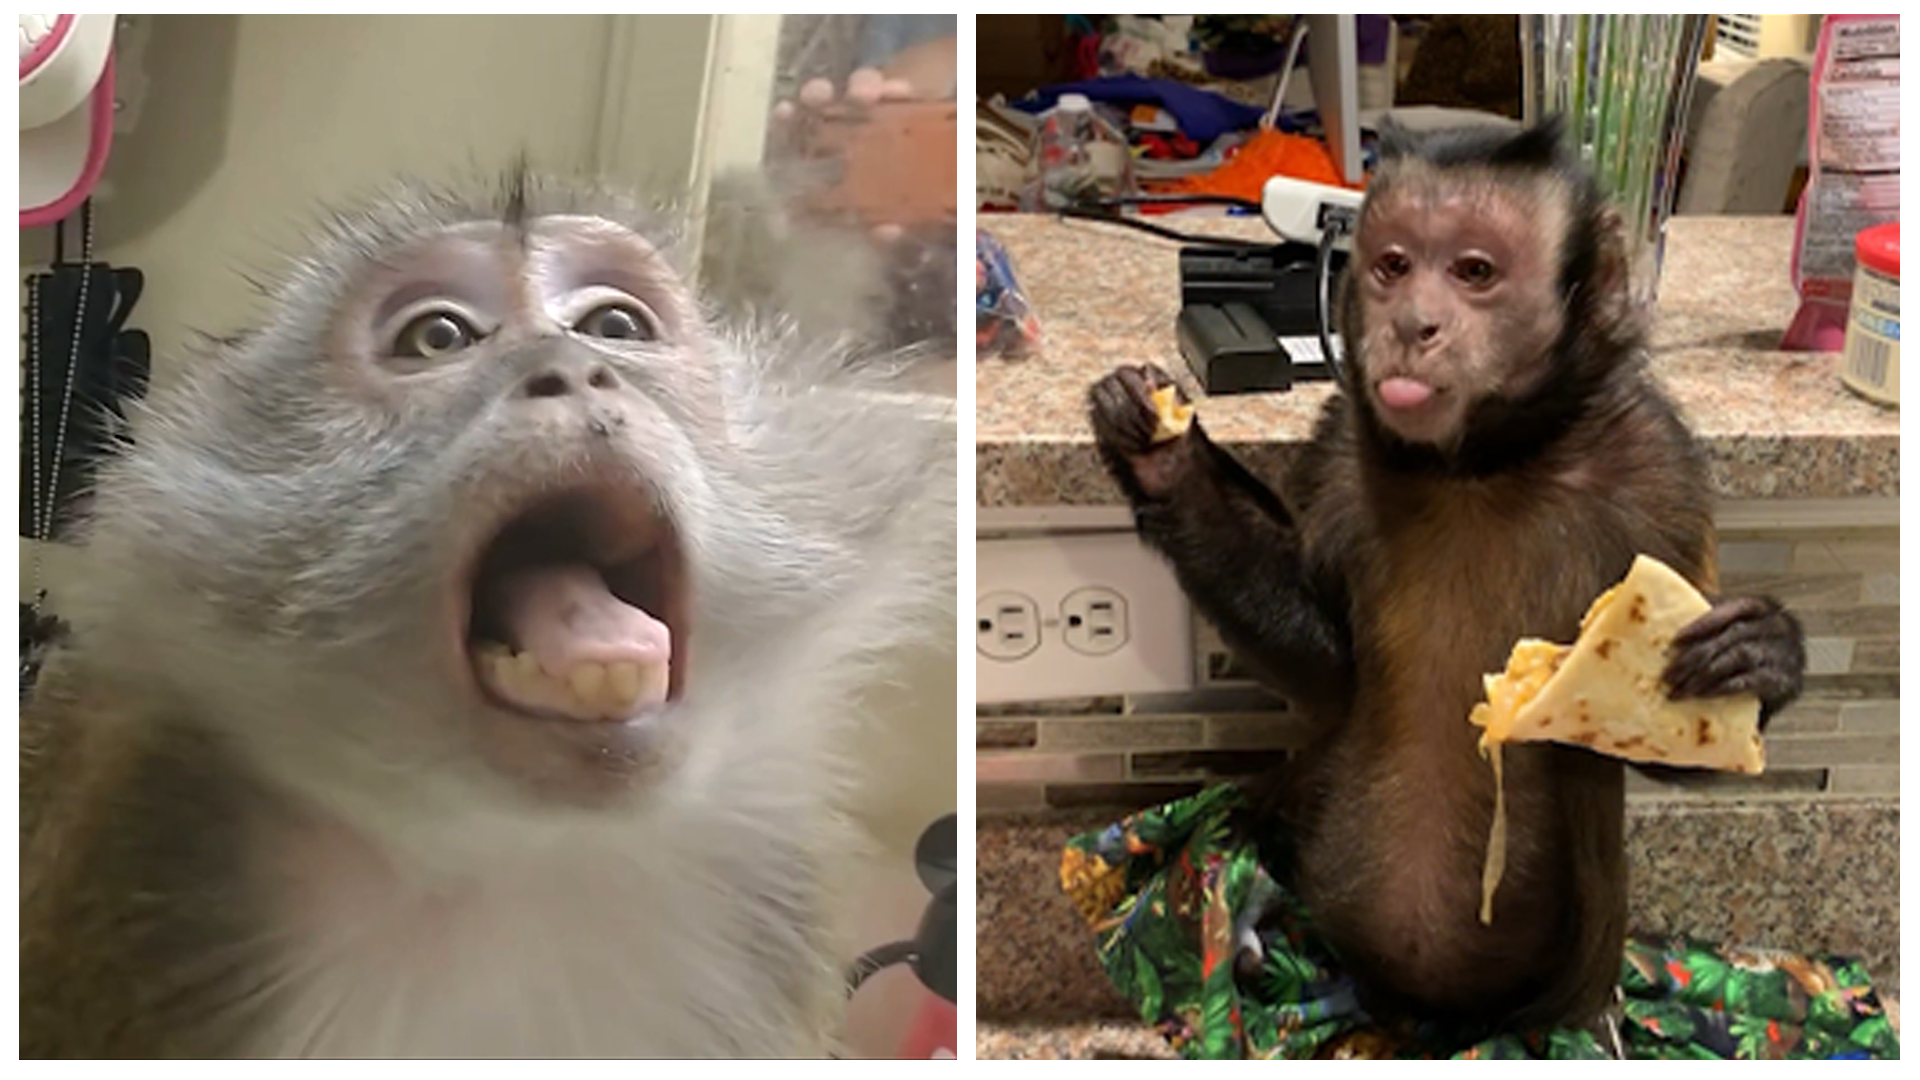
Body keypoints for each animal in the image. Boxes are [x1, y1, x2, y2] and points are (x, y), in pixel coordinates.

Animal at [1087, 119, 1804, 1042]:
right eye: (1393, 265)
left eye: (1474, 272)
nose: (1413, 324)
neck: (1483, 459)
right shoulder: (1343, 445)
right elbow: (1331, 672)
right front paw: (1164, 460)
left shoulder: (1660, 469)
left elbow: (1676, 739)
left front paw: (1761, 657)